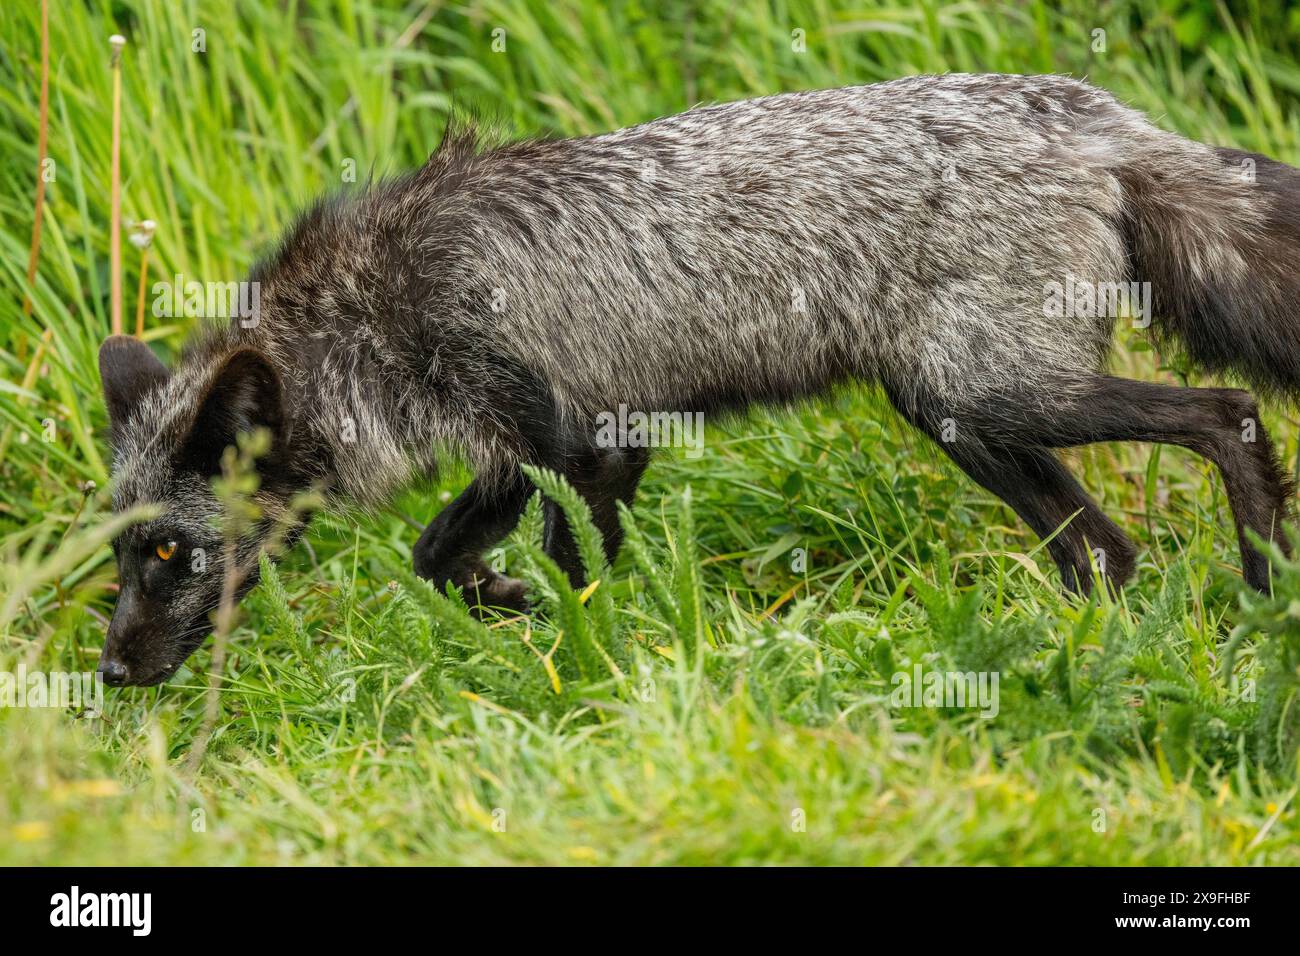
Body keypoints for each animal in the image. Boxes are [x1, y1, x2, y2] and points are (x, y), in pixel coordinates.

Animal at [97, 73, 1300, 687]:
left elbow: (517, 561)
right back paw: (1095, 653)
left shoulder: (559, 437)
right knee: (1105, 550)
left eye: (171, 554)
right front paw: (531, 617)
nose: (108, 674)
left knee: (1229, 414)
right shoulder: (574, 441)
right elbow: (472, 556)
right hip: (962, 415)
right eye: (117, 554)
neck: (371, 309)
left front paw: (584, 659)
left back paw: (1264, 587)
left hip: (997, 396)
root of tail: (1097, 114)